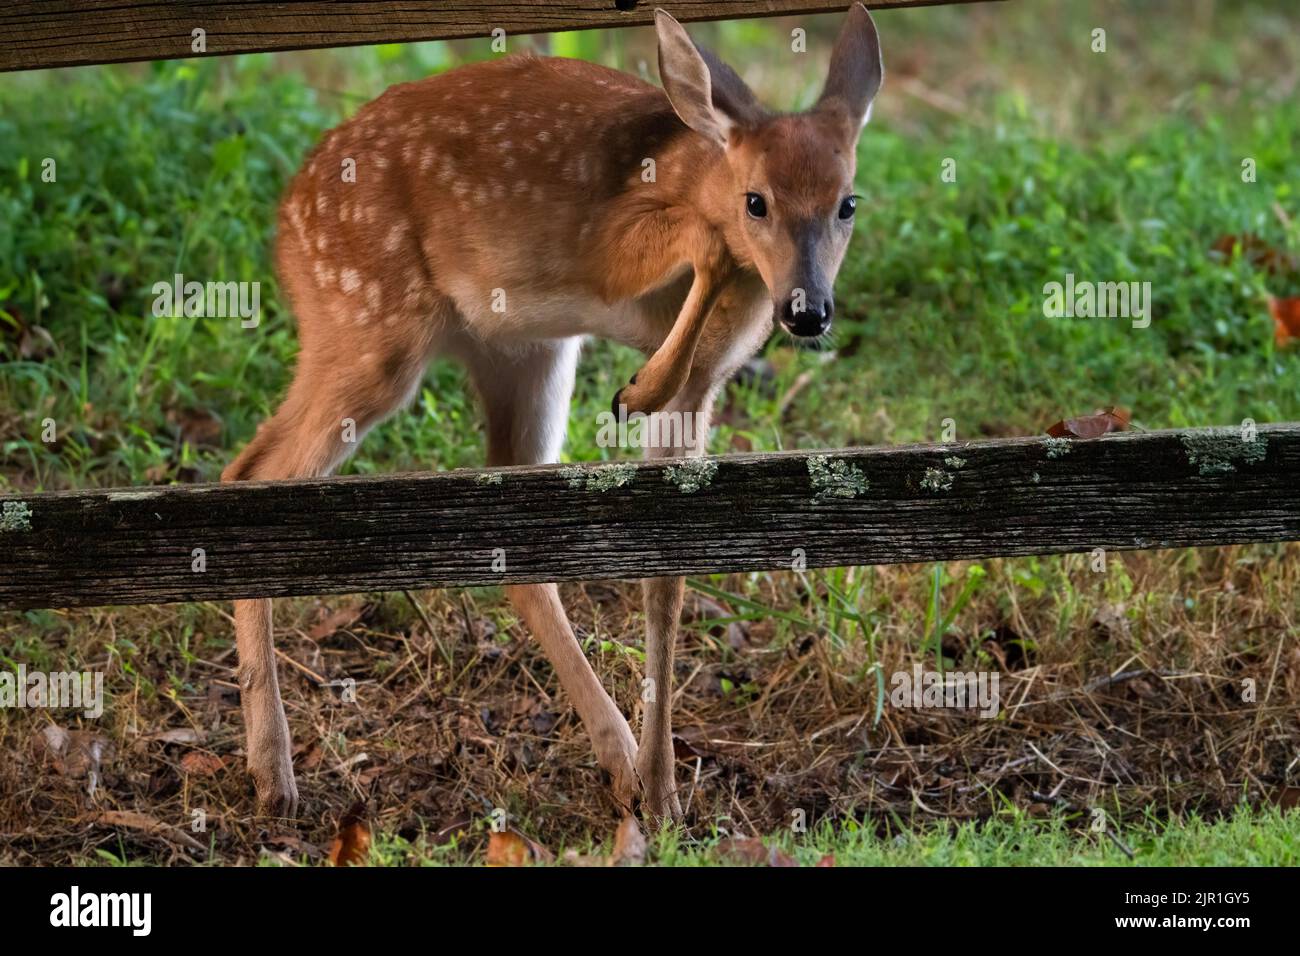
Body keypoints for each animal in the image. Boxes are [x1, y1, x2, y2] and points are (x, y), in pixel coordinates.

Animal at [223, 4, 884, 822]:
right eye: (756, 200)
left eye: (847, 203)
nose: (808, 310)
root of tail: (285, 218)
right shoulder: (606, 243)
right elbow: (701, 242)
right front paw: (637, 386)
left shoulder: (704, 391)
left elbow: (667, 582)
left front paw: (665, 795)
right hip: (364, 322)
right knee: (250, 470)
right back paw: (272, 774)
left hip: (524, 353)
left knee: (517, 542)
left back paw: (621, 764)